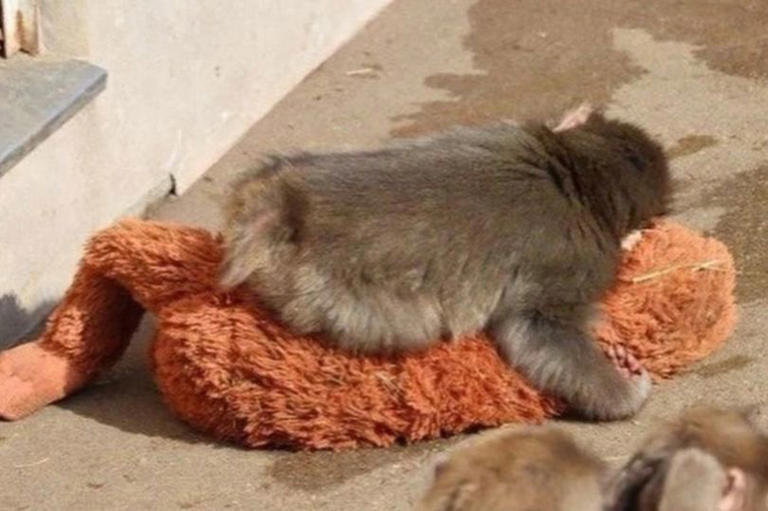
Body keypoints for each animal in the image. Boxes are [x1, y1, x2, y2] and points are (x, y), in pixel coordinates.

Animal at [219, 104, 671, 421]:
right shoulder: (578, 262)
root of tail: (286, 206)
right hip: (330, 294)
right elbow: (539, 330)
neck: (576, 173)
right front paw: (625, 388)